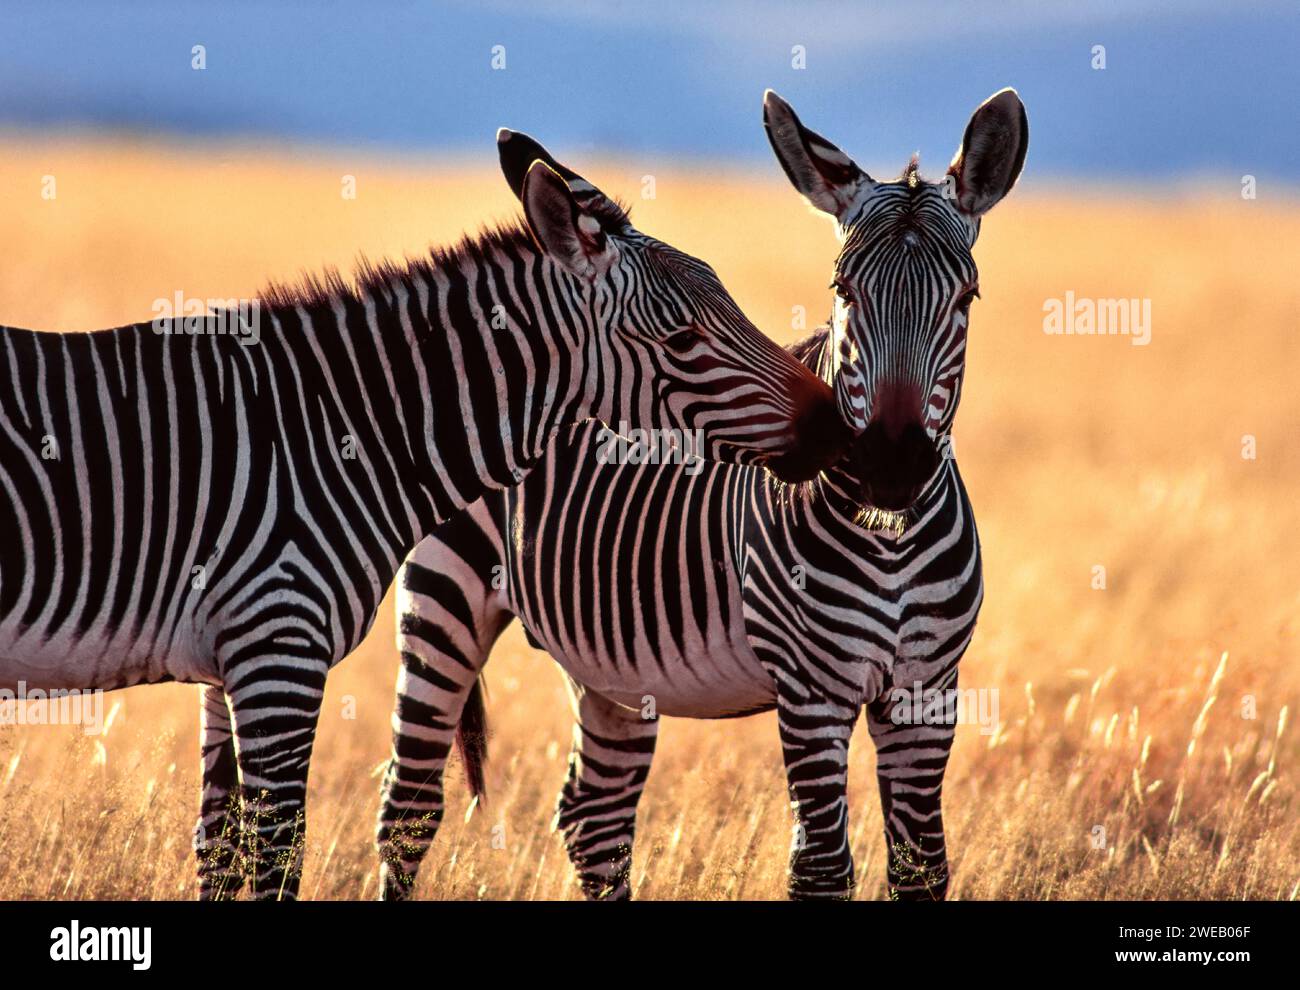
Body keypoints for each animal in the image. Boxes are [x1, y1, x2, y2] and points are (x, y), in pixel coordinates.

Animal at [0, 129, 849, 901]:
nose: (836, 426)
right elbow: (277, 856)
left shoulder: (231, 661)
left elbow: (226, 848)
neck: (332, 428)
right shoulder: (278, 643)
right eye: (681, 339)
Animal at [373, 89, 1028, 900]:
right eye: (842, 291)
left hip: (612, 664)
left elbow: (923, 867)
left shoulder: (927, 691)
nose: (891, 464)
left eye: (968, 297)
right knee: (408, 809)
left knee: (593, 817)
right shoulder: (810, 691)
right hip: (443, 599)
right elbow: (821, 867)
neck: (890, 541)